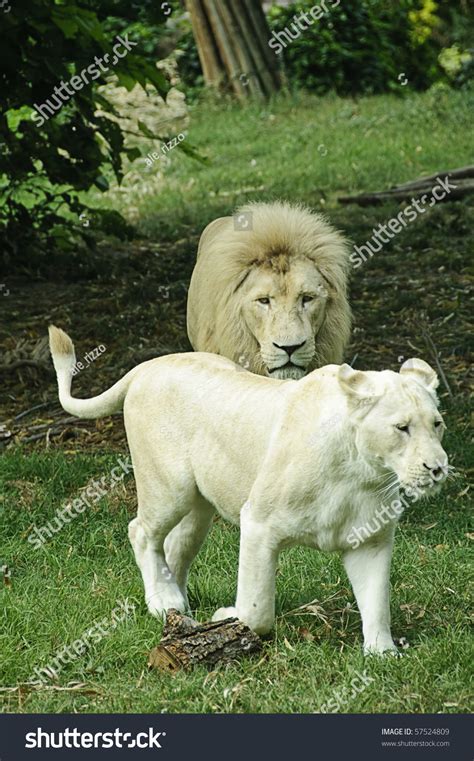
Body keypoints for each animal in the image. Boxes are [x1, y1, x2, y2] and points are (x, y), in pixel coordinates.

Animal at [50, 325, 449, 654]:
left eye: (437, 424)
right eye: (401, 428)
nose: (438, 468)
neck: (362, 472)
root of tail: (147, 366)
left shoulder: (369, 540)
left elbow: (377, 601)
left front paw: (382, 654)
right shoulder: (258, 522)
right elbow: (258, 609)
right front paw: (228, 616)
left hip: (198, 508)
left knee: (174, 546)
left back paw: (177, 606)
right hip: (169, 488)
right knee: (142, 532)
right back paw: (164, 601)